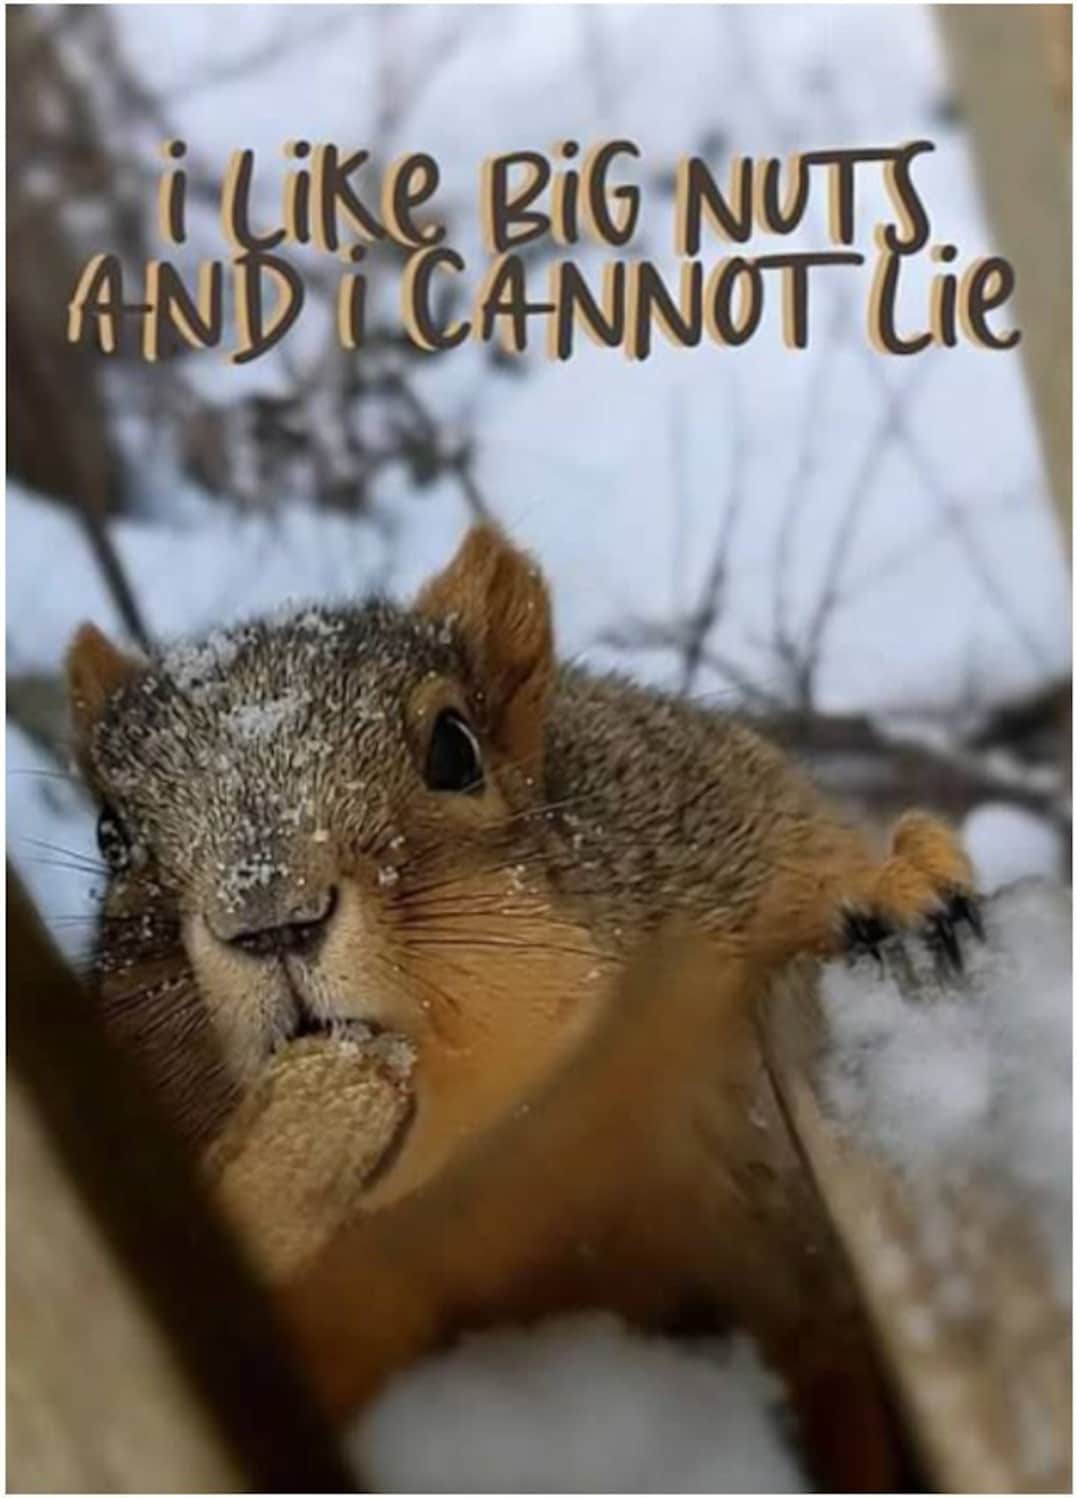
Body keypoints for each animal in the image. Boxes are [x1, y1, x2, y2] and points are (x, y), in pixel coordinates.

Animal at [67, 523, 981, 1488]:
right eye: (111, 837)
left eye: (454, 749)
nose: (269, 914)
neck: (503, 1145)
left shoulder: (731, 844)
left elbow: (821, 866)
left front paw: (905, 886)